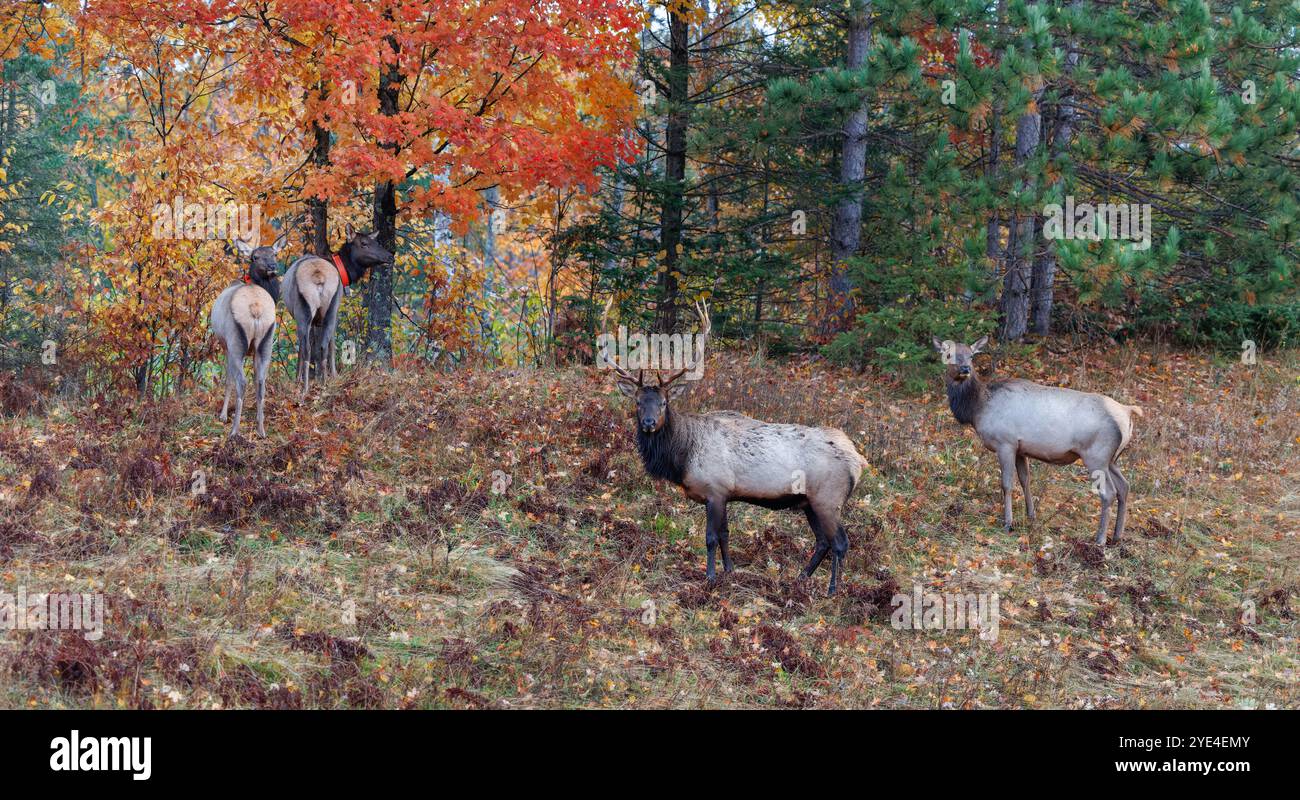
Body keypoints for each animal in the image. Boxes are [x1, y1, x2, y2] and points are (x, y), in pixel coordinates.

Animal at [210, 236, 286, 438]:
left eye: (275, 254)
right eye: (255, 256)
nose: (272, 266)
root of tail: (256, 308)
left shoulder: (226, 346)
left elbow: (228, 378)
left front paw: (223, 415)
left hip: (236, 341)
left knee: (241, 382)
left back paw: (234, 431)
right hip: (266, 343)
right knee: (261, 381)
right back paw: (261, 430)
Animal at [281, 227, 393, 396]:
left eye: (376, 242)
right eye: (364, 243)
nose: (390, 256)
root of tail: (318, 275)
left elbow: (303, 347)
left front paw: (298, 379)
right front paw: (332, 375)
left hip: (309, 311)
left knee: (312, 347)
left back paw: (312, 386)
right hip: (328, 307)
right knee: (322, 345)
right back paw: (319, 385)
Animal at [603, 300, 869, 595]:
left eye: (663, 403)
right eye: (638, 402)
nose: (649, 423)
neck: (683, 456)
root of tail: (858, 461)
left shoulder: (715, 490)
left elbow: (710, 537)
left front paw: (709, 577)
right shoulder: (726, 493)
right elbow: (726, 534)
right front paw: (729, 571)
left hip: (828, 499)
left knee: (840, 542)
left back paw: (832, 590)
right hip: (809, 502)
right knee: (822, 541)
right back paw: (800, 578)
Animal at [932, 336, 1144, 546]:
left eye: (971, 356)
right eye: (949, 355)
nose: (965, 369)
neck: (978, 409)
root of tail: (1128, 412)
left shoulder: (1005, 442)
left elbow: (1007, 484)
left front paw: (1008, 523)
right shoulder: (1020, 449)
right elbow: (1025, 480)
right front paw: (1031, 515)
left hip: (1096, 455)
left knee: (1109, 493)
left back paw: (1100, 540)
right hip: (1111, 459)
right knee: (1124, 487)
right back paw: (1117, 536)